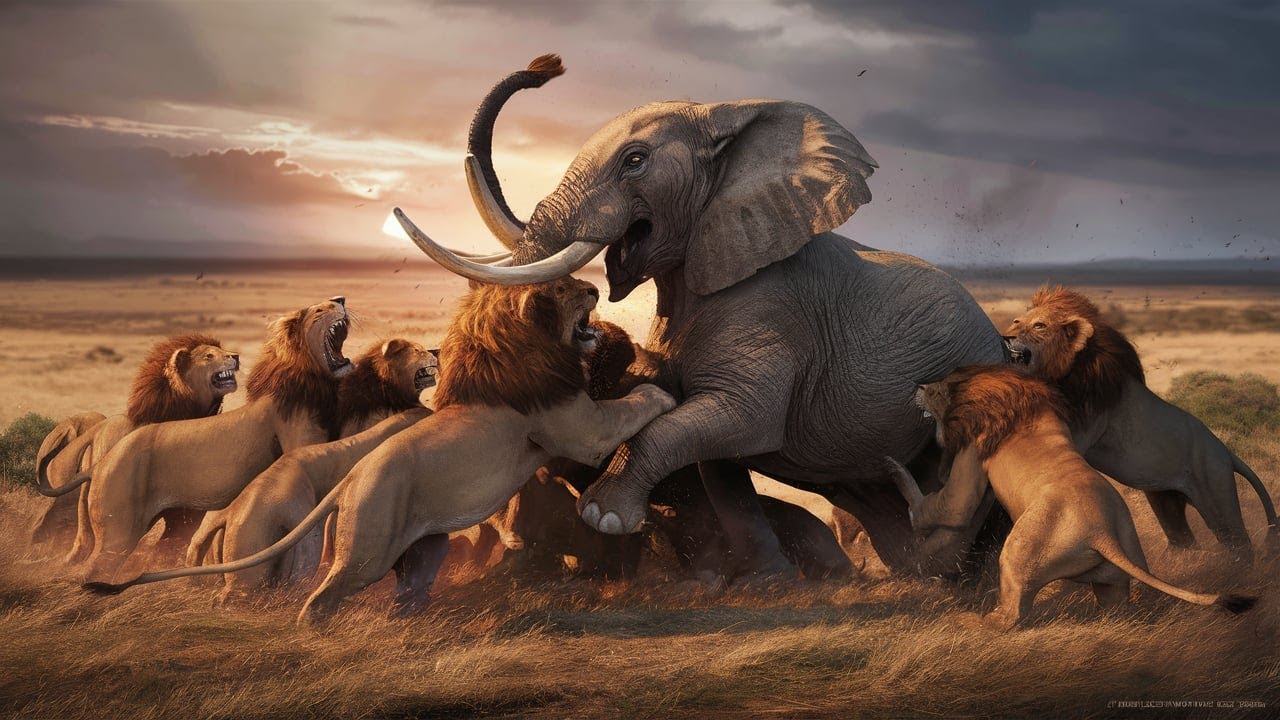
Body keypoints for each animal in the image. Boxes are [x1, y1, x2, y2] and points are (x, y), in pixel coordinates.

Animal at [887, 365, 1255, 630]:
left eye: (938, 388)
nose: (917, 386)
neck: (1013, 397)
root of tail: (1102, 532)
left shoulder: (972, 453)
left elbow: (949, 505)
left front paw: (895, 471)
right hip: (1116, 571)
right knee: (1118, 606)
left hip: (1019, 551)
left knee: (1013, 615)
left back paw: (974, 621)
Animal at [1005, 286, 1277, 561]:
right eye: (1017, 321)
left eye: (1039, 325)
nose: (1007, 338)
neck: (1069, 369)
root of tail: (1226, 451)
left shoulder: (1085, 426)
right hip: (1166, 499)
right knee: (1183, 538)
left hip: (1215, 489)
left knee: (1239, 543)